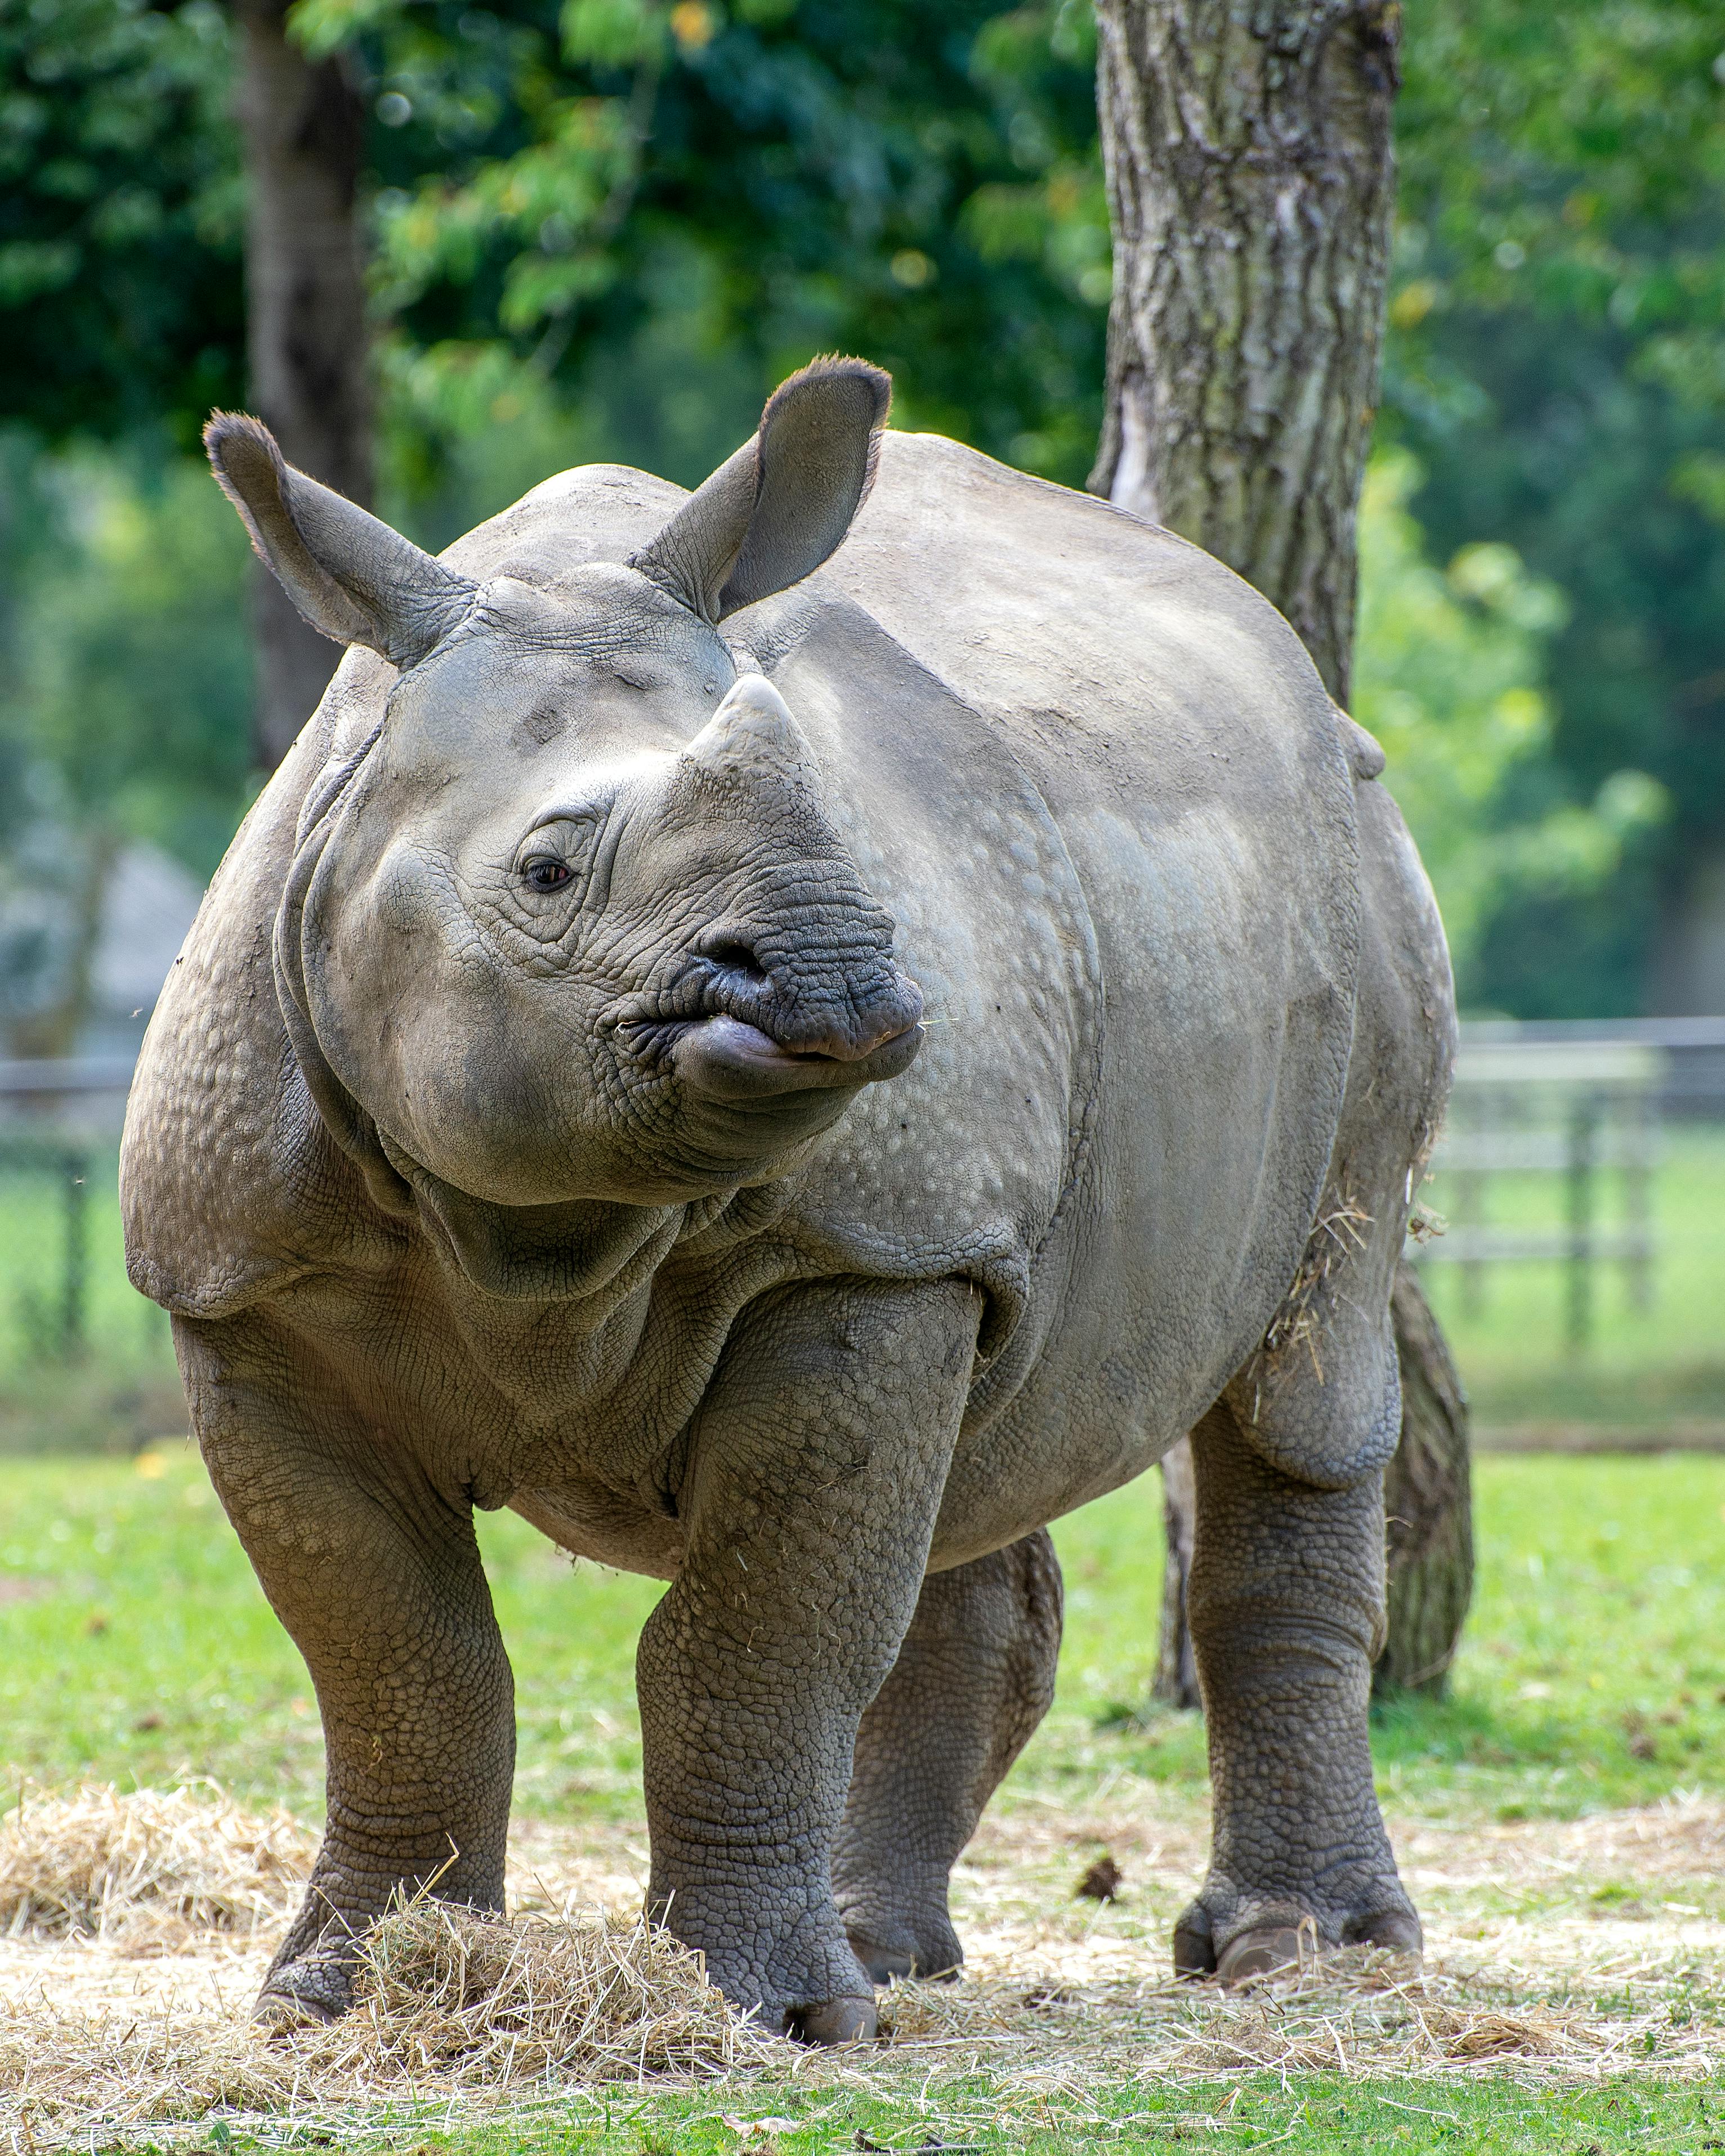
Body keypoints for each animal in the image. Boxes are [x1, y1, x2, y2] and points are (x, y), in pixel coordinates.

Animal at [121, 357, 1453, 2041]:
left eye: (842, 825)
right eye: (546, 872)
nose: (835, 975)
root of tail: (1288, 666)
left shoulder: (868, 1249)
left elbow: (751, 1636)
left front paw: (764, 2014)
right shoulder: (246, 1284)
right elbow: (395, 1654)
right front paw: (349, 1991)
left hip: (1361, 882)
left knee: (1302, 1380)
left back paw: (1300, 1952)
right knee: (982, 1454)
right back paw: (890, 1954)